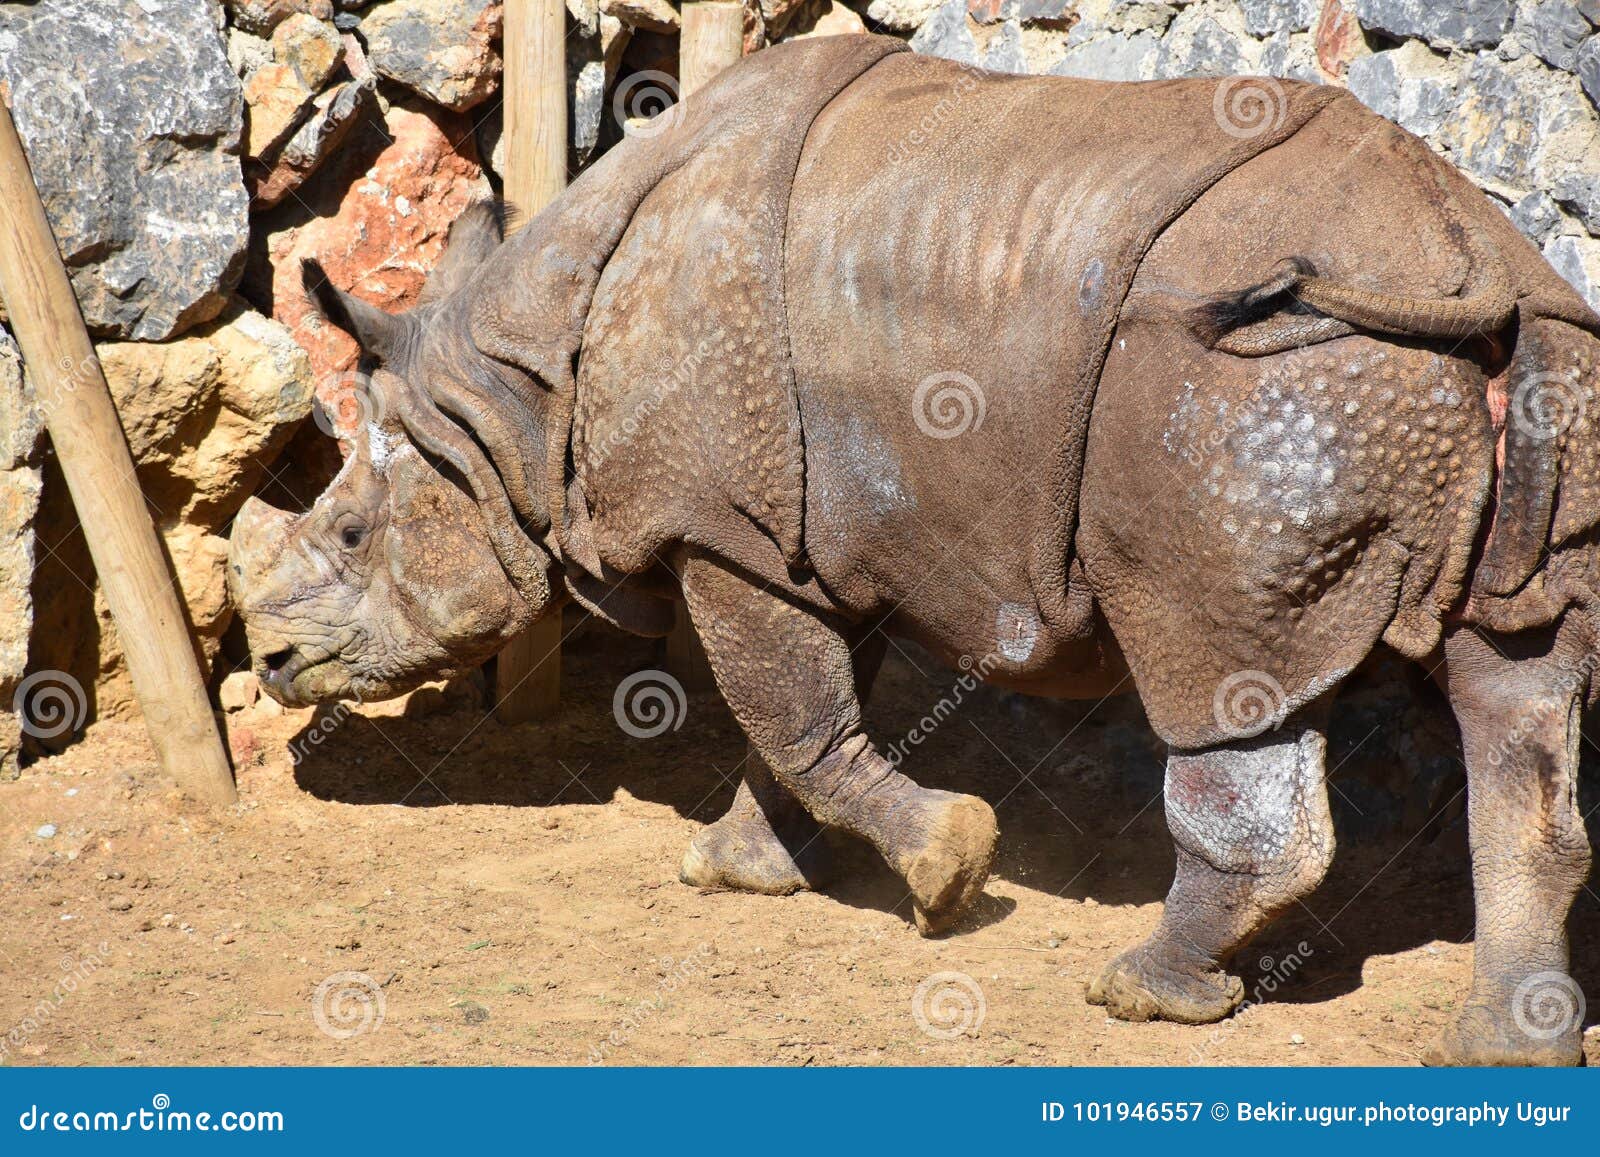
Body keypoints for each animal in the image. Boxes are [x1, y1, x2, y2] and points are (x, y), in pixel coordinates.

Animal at [230, 36, 1600, 1064]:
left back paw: (1141, 992)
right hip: (1524, 356)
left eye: (349, 532)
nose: (276, 660)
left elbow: (790, 714)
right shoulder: (820, 531)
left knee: (1217, 671)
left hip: (1251, 388)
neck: (510, 404)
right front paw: (739, 867)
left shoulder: (723, 527)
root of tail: (1461, 254)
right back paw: (1502, 1045)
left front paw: (947, 870)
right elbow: (803, 715)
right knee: (1516, 682)